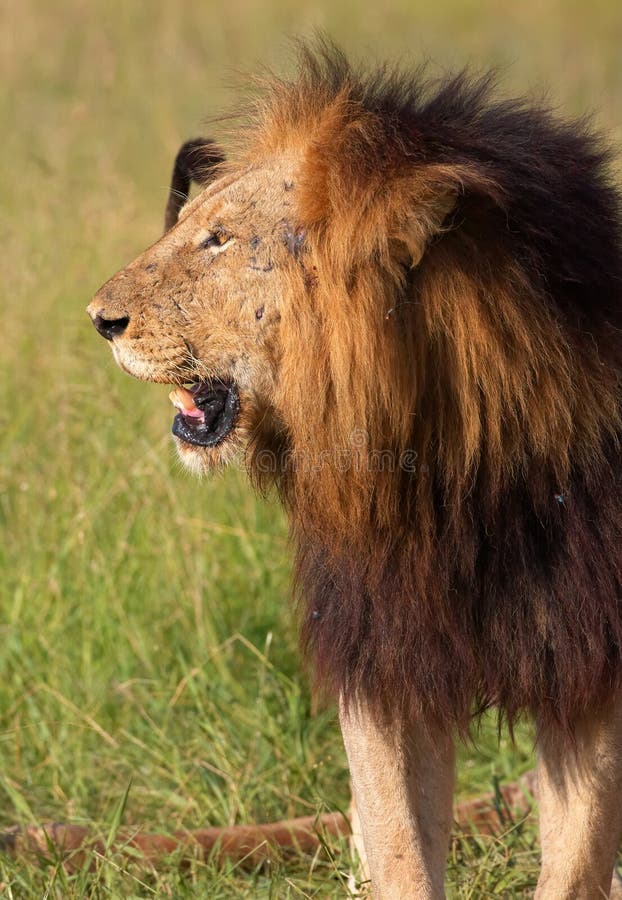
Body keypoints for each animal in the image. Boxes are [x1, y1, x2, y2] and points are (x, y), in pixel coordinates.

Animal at [88, 44, 622, 898]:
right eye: (197, 228)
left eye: (220, 239)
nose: (99, 320)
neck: (447, 474)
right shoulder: (382, 655)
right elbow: (400, 846)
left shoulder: (589, 658)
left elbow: (573, 865)